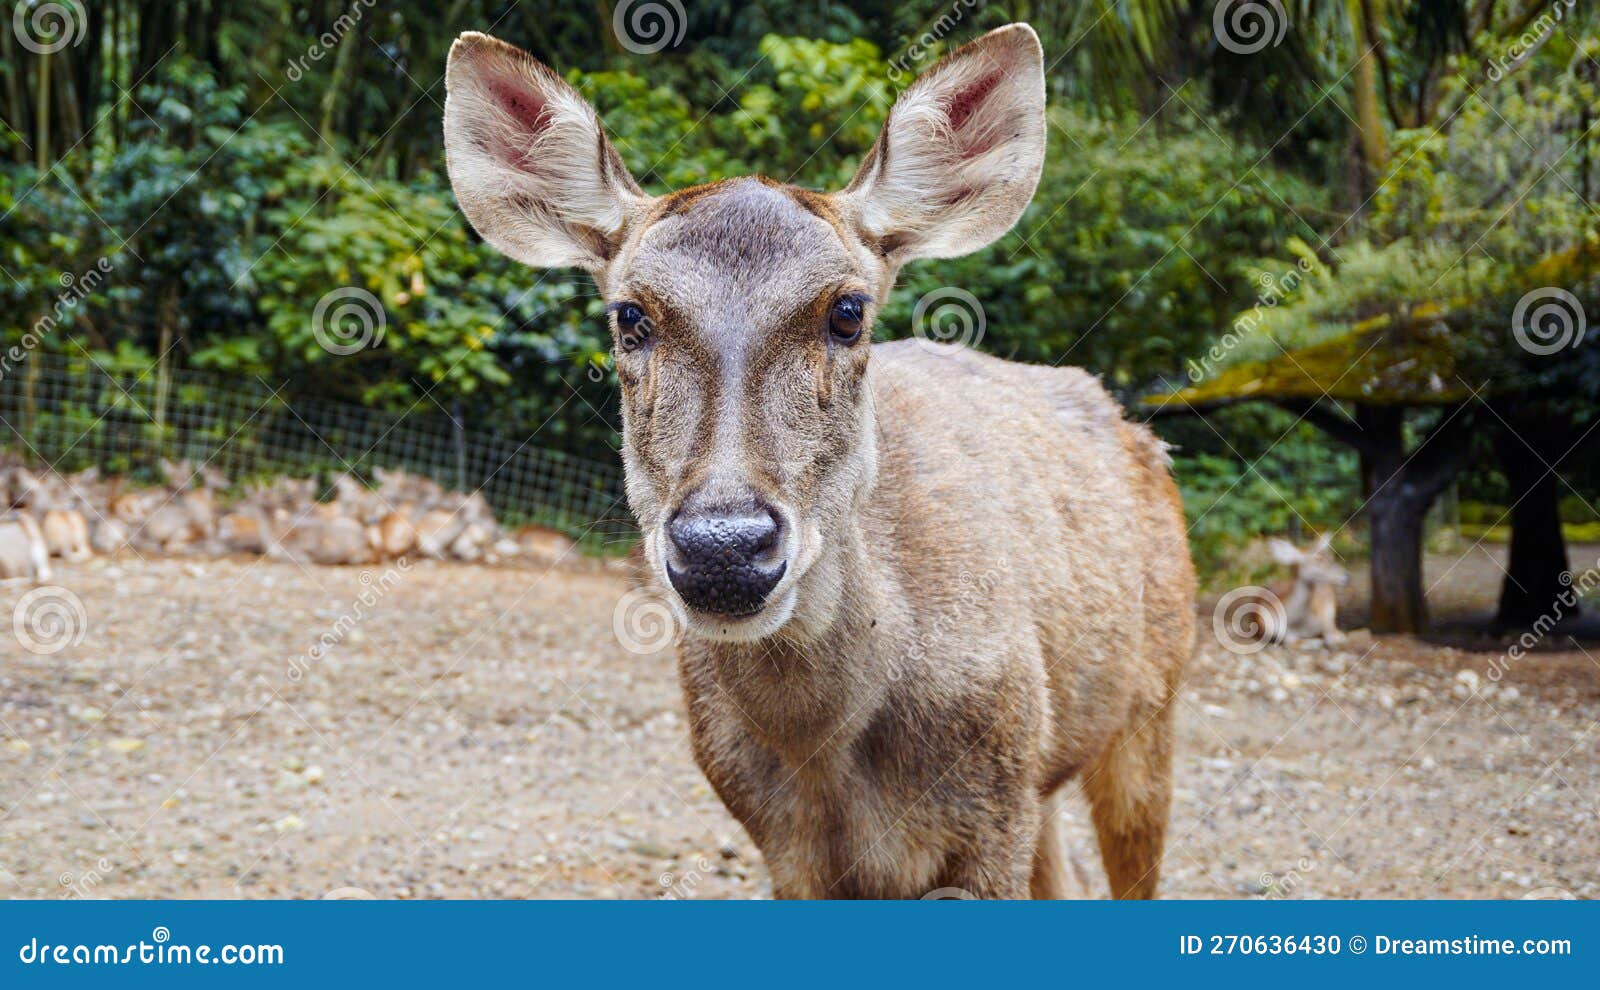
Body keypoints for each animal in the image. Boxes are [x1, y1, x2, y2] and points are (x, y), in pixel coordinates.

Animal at [443, 23, 1195, 899]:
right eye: (630, 316)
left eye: (848, 311)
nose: (724, 549)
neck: (835, 755)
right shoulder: (785, 848)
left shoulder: (994, 811)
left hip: (1149, 701)